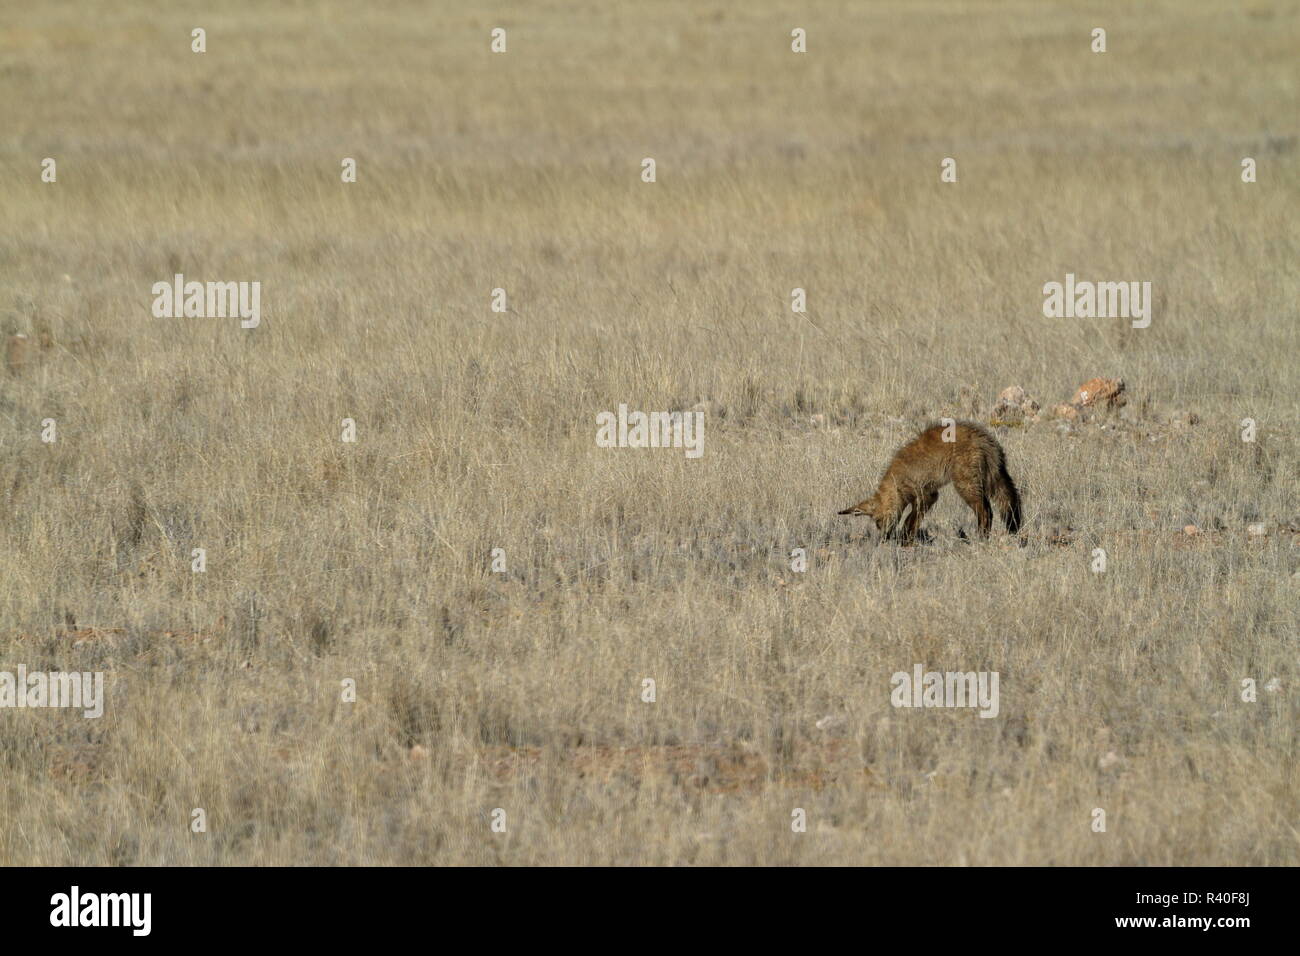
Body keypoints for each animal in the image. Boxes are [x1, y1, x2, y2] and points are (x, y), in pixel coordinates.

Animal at [837, 420, 1022, 544]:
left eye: (878, 522)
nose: (884, 539)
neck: (896, 480)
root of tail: (983, 438)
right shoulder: (929, 496)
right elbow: (912, 521)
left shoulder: (924, 496)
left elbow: (910, 522)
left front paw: (905, 541)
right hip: (992, 481)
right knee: (1005, 505)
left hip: (966, 486)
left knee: (986, 511)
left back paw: (981, 537)